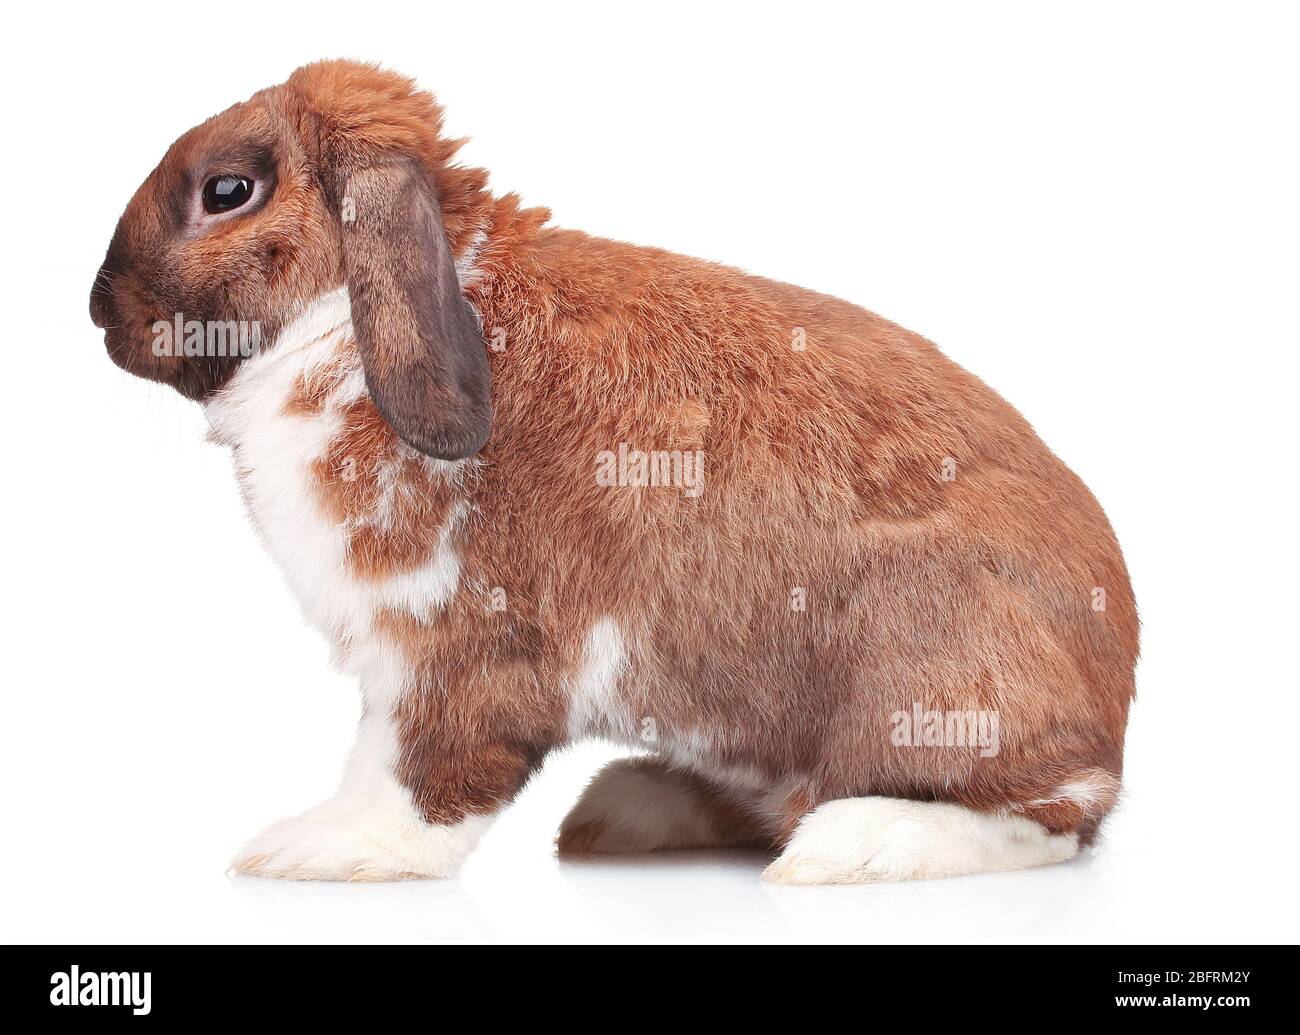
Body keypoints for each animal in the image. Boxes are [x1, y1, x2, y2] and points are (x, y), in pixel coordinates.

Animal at [89, 60, 1137, 883]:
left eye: (228, 191)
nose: (99, 307)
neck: (341, 326)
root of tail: (1113, 699)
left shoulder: (451, 649)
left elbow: (417, 773)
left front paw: (322, 849)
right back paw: (631, 808)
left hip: (929, 679)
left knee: (1051, 815)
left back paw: (855, 844)